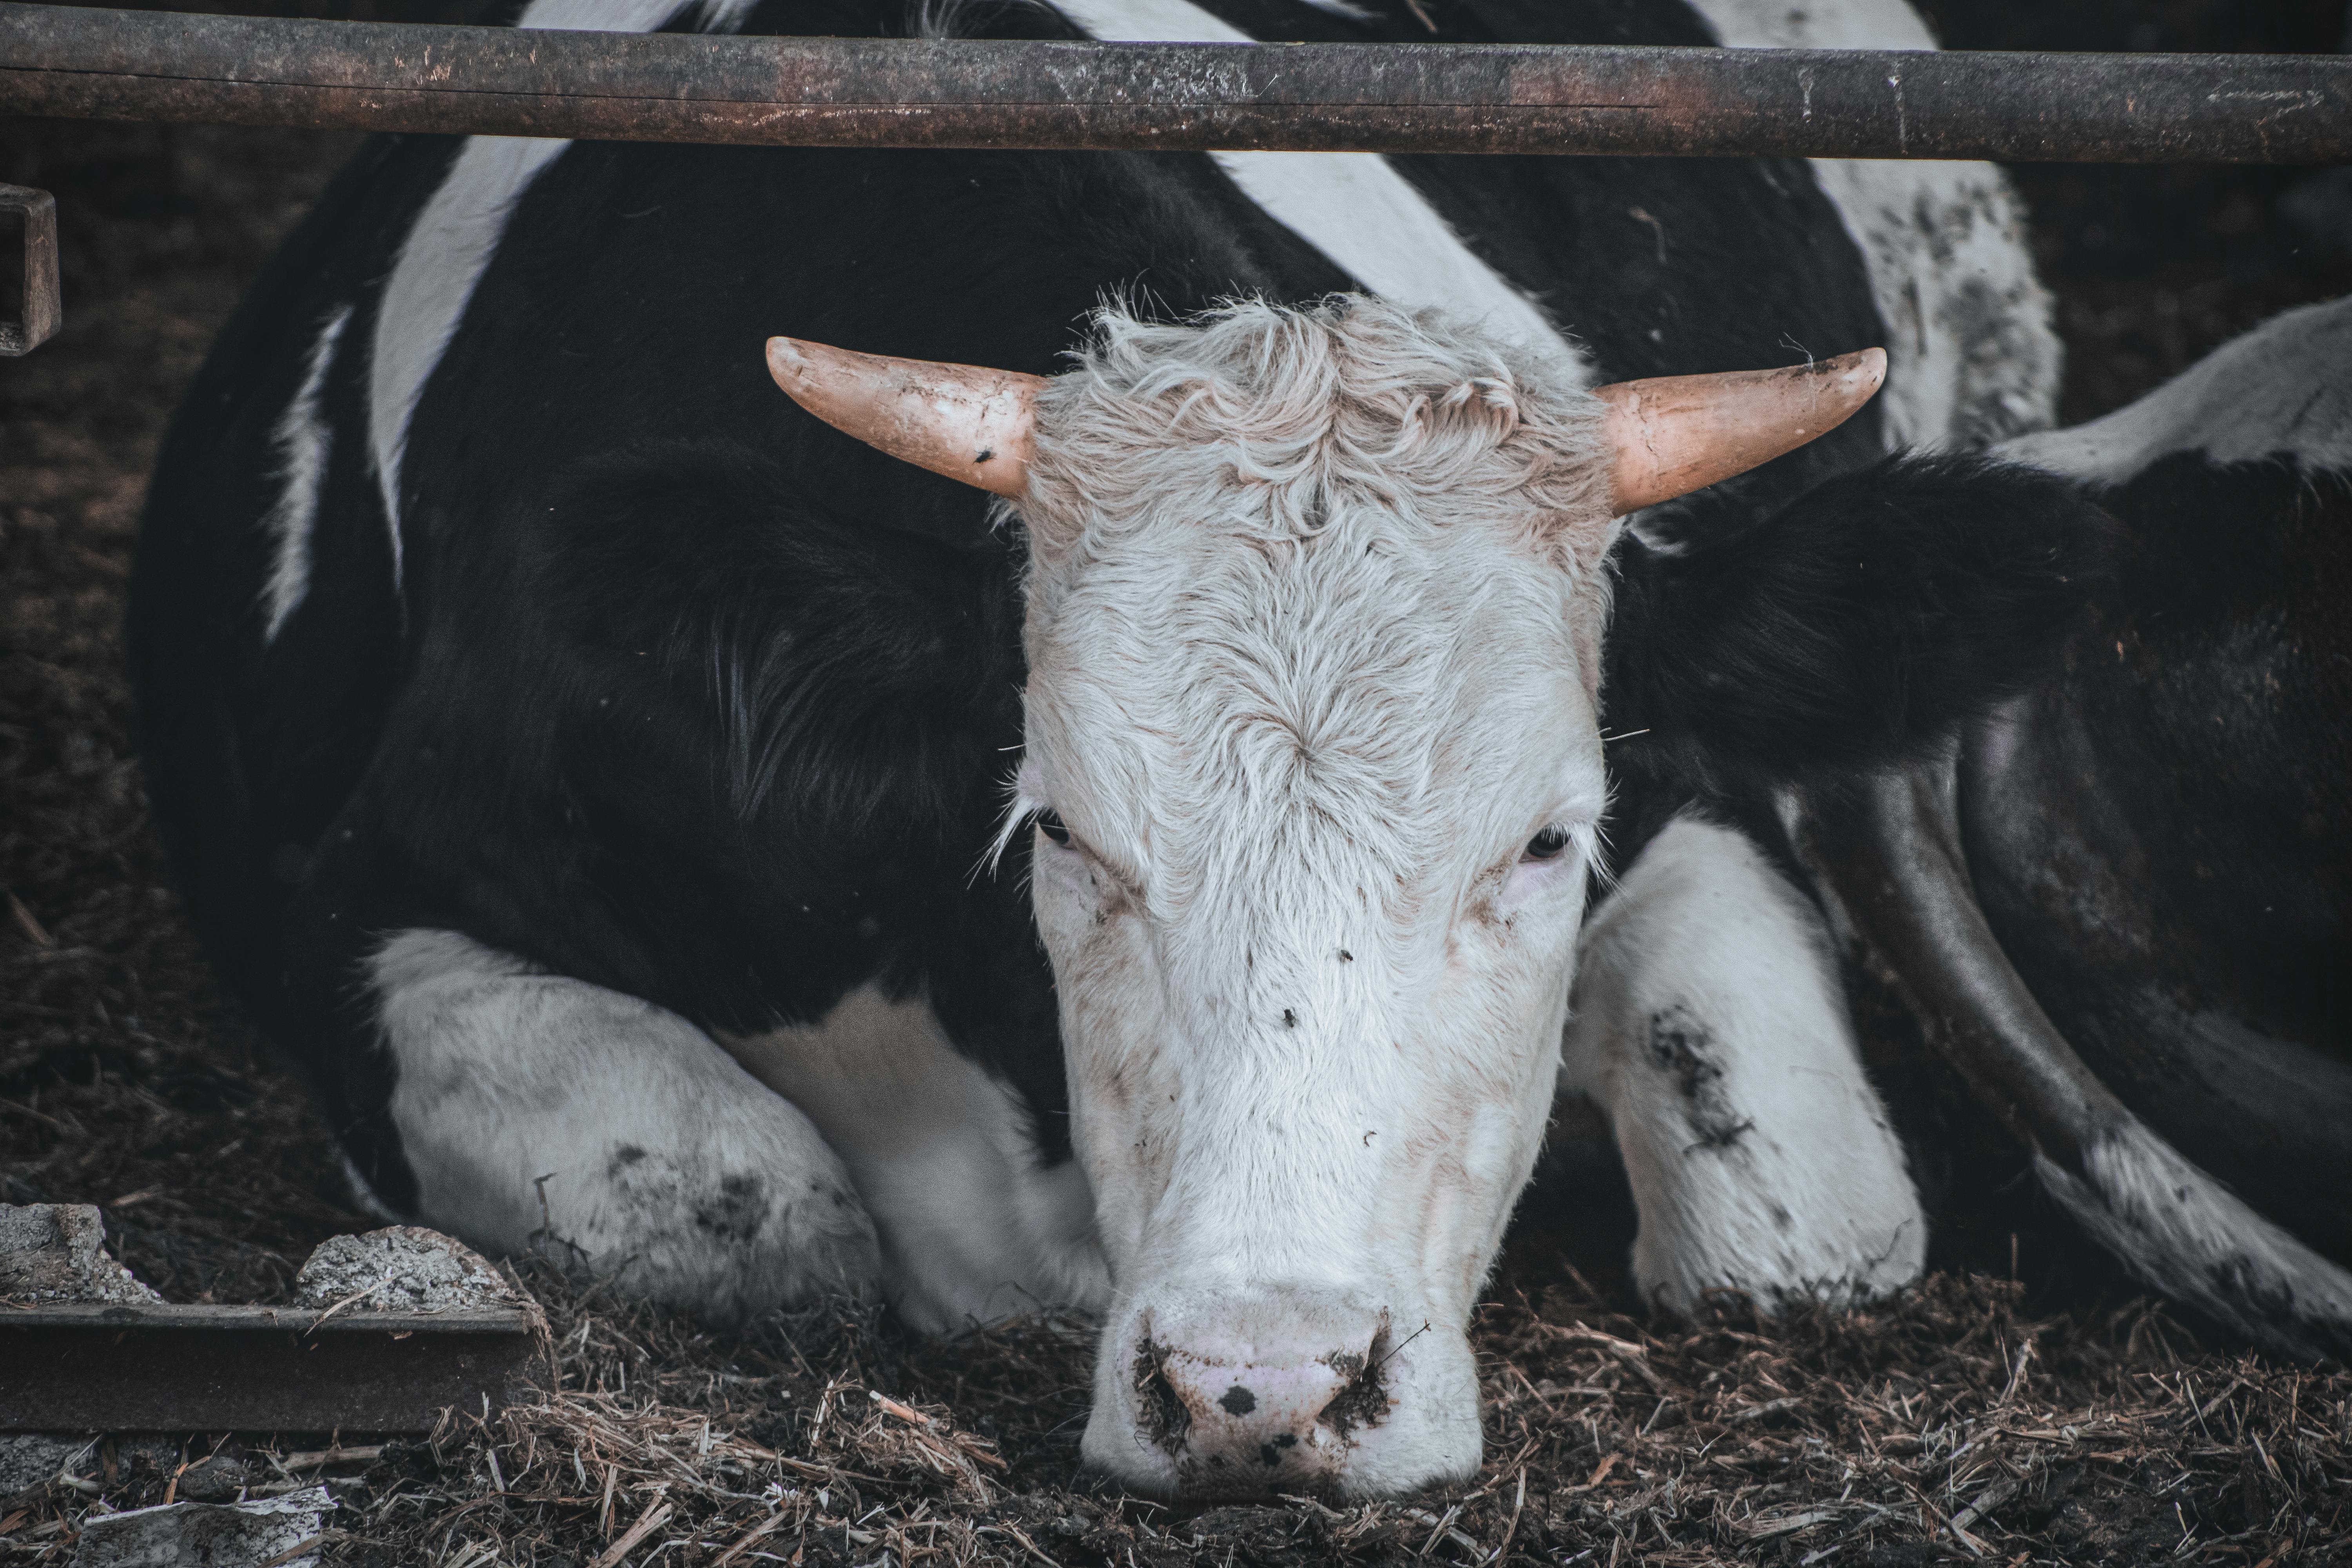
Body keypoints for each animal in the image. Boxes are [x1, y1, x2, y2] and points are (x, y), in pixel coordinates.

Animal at [125, 0, 2339, 1502]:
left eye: (1547, 839)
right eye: (1060, 831)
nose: (1261, 1387)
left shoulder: (1697, 773)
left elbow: (1801, 1219)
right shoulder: (348, 893)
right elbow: (741, 1195)